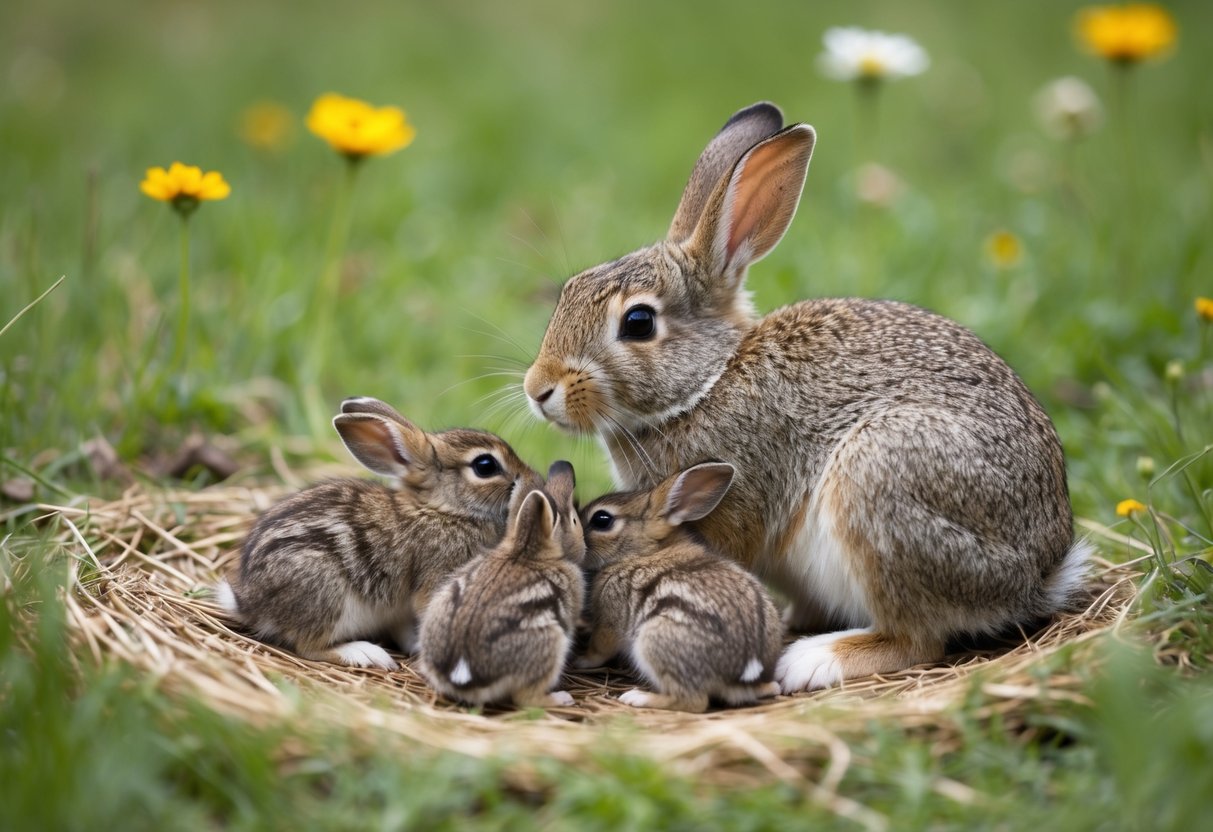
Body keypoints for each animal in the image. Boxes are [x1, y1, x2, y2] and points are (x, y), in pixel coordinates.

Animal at [216, 396, 543, 669]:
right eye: (485, 465)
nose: (533, 477)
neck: (447, 510)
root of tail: (251, 604)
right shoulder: (436, 578)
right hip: (323, 590)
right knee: (309, 645)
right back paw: (365, 654)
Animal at [418, 461, 586, 707]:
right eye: (575, 521)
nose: (584, 546)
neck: (525, 550)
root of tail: (462, 672)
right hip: (550, 646)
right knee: (527, 698)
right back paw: (561, 699)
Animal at [576, 462, 783, 713]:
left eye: (602, 519)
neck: (644, 551)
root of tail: (746, 672)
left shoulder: (610, 617)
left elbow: (600, 647)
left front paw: (582, 660)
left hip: (653, 642)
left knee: (692, 701)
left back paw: (637, 697)